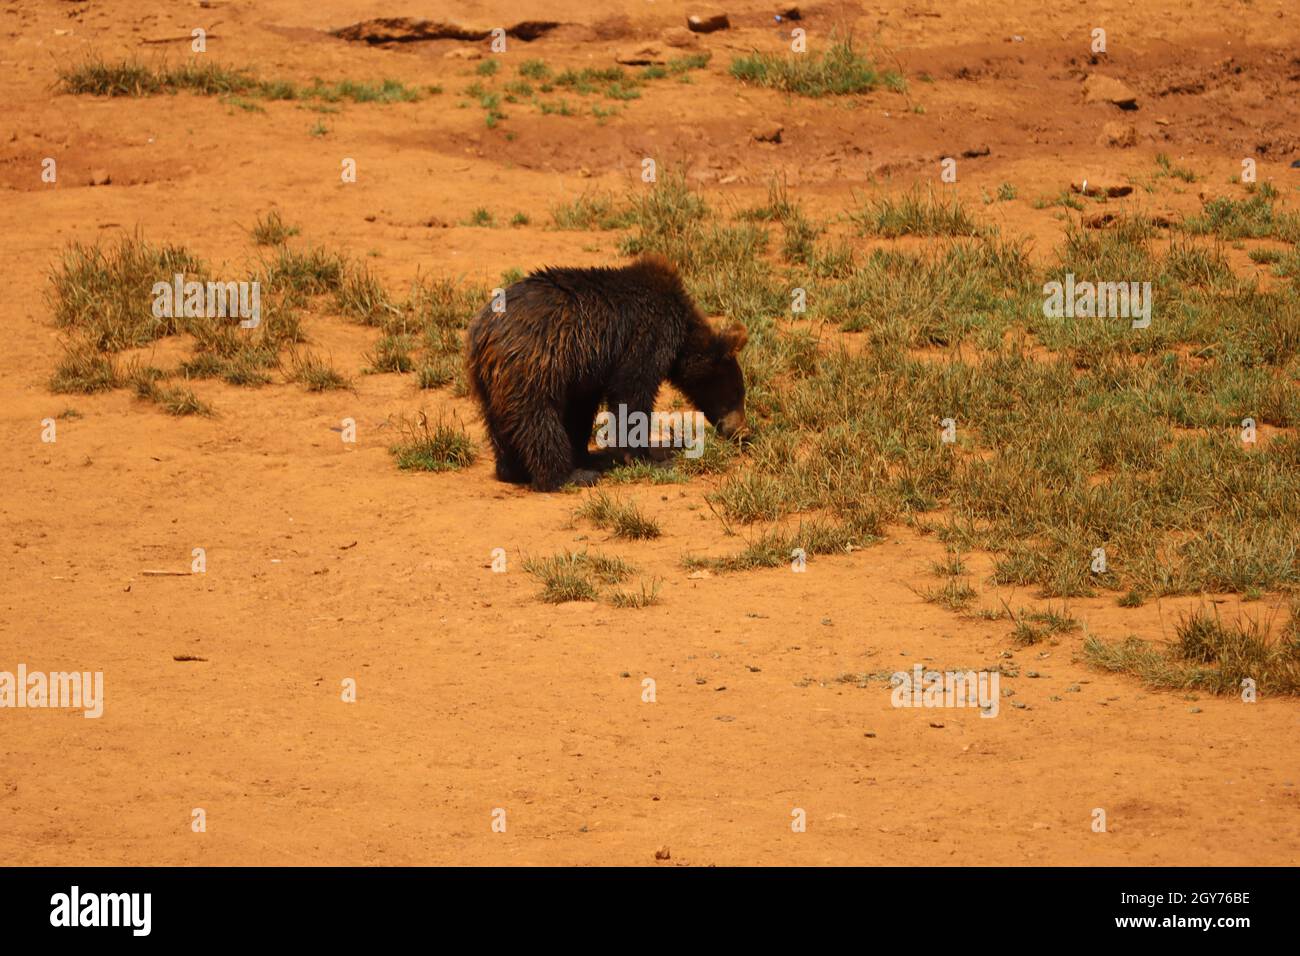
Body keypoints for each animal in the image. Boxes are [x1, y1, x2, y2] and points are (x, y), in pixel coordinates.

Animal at [465, 254, 748, 491]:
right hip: (537, 362)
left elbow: (581, 408)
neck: (682, 338)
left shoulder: (586, 369)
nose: (741, 432)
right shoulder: (644, 337)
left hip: (489, 378)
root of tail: (486, 331)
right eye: (737, 394)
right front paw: (647, 457)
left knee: (499, 421)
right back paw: (566, 477)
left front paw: (585, 454)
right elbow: (632, 393)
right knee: (537, 417)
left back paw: (512, 470)